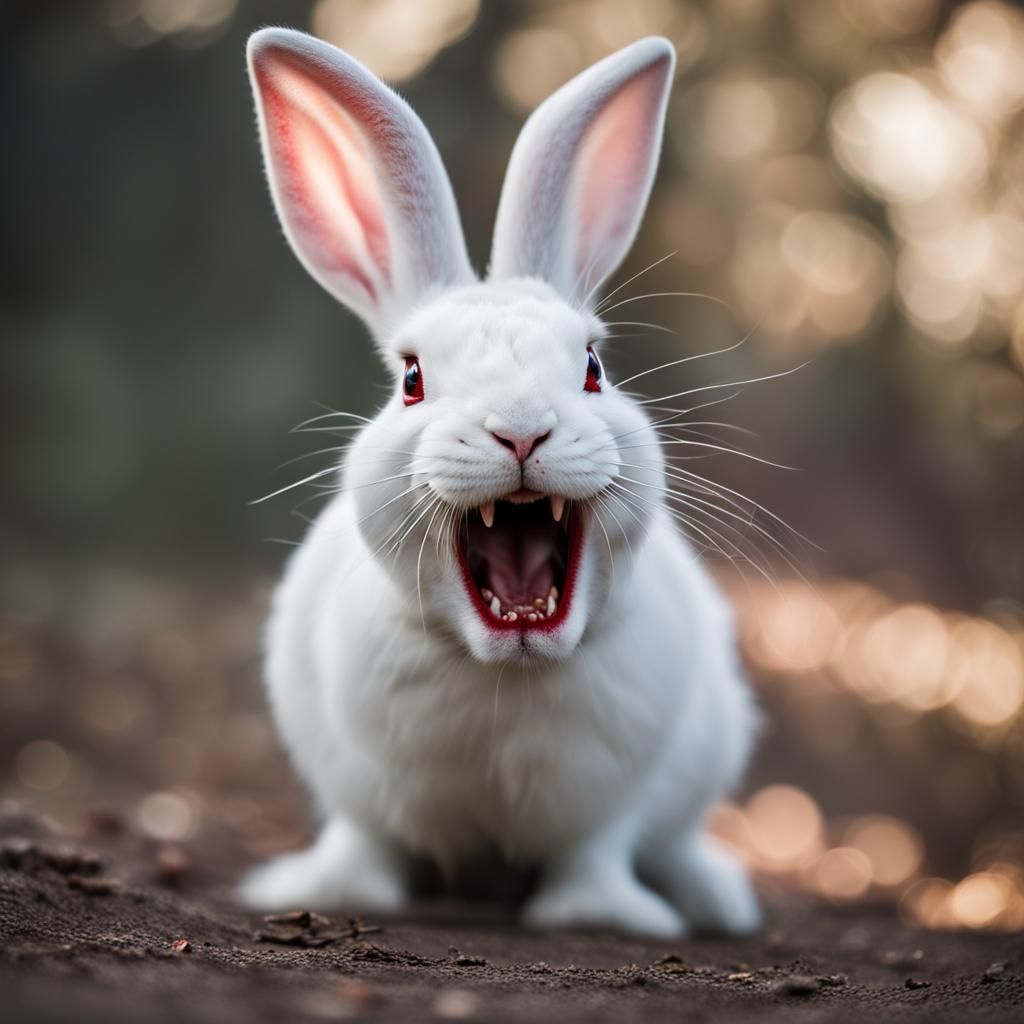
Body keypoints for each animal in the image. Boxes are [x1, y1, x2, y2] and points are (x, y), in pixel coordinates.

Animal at [238, 26, 761, 939]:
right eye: (412, 379)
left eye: (592, 367)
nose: (521, 428)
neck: (502, 670)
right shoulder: (355, 787)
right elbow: (367, 843)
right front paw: (330, 891)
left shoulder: (610, 796)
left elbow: (594, 851)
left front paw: (604, 915)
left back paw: (713, 898)